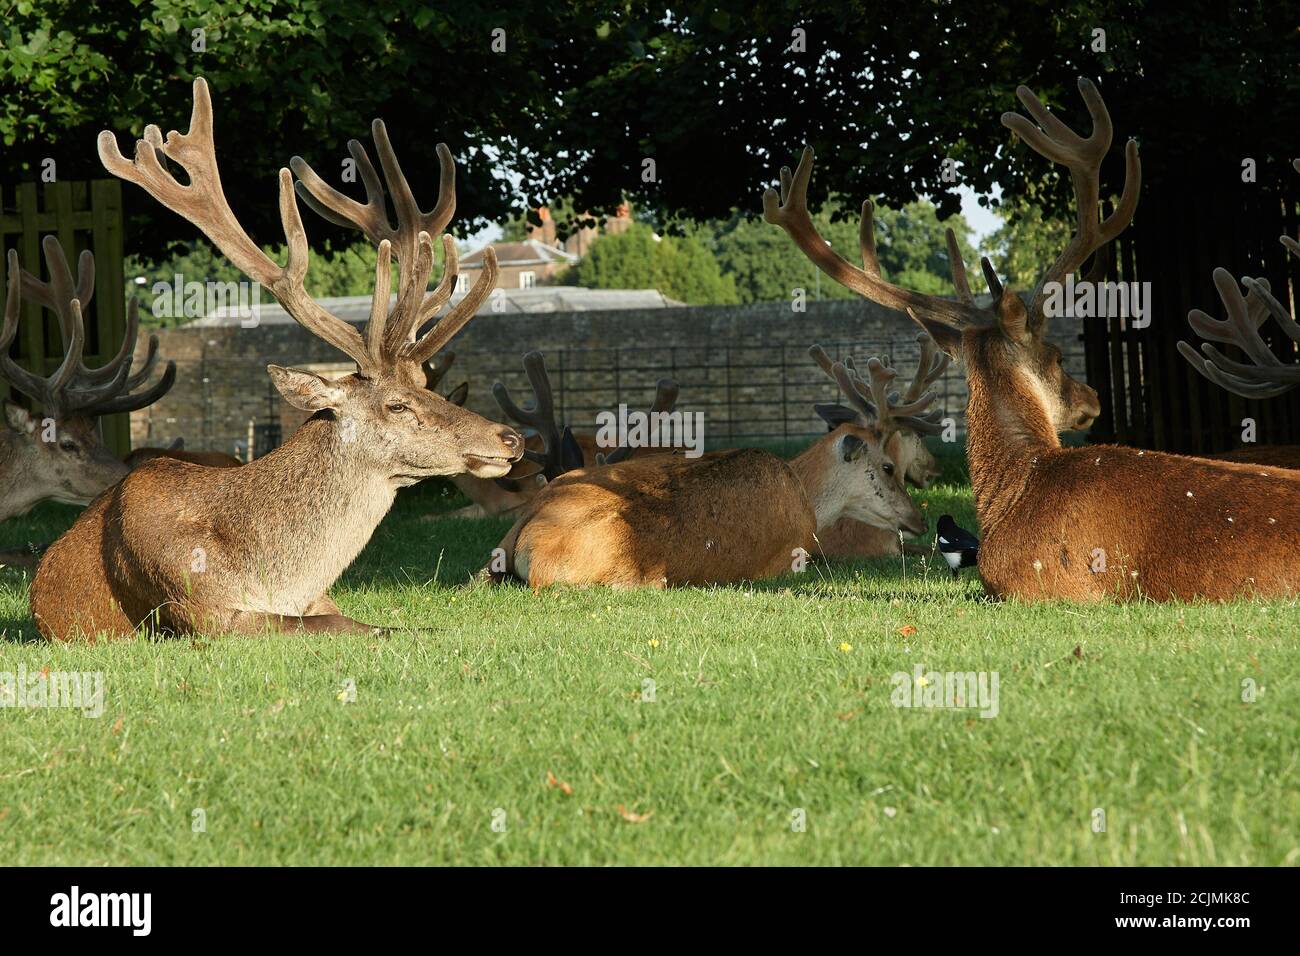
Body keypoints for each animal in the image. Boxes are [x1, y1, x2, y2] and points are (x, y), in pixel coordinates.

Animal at [29, 77, 523, 641]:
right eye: (397, 404)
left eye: (426, 385)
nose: (511, 438)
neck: (277, 577)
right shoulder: (202, 611)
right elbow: (336, 628)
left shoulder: (323, 598)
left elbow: (361, 622)